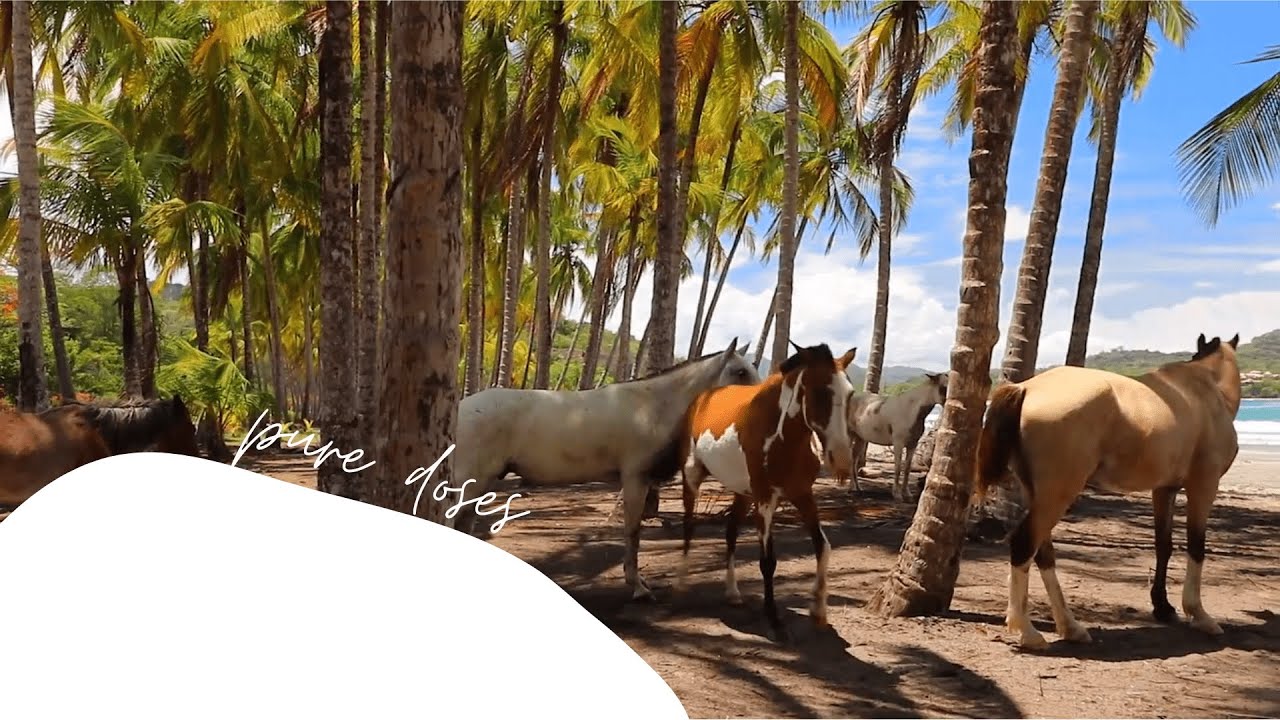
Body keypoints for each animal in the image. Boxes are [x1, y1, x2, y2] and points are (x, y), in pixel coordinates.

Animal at [451, 338, 761, 600]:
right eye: (740, 372)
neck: (655, 407)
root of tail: (462, 407)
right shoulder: (635, 479)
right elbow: (632, 531)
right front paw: (638, 588)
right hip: (470, 479)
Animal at [672, 342, 856, 641]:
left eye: (850, 393)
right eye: (819, 391)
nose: (841, 460)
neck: (781, 436)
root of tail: (704, 397)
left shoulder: (802, 494)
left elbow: (823, 547)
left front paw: (818, 610)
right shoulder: (765, 499)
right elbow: (768, 561)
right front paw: (773, 618)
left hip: (743, 492)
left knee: (730, 532)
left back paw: (733, 592)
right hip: (692, 477)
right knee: (689, 526)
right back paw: (680, 582)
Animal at [838, 372, 948, 503]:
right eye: (944, 387)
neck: (910, 409)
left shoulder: (913, 444)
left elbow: (907, 469)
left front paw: (907, 494)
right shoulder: (898, 443)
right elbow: (898, 468)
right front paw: (897, 494)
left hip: (860, 438)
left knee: (854, 460)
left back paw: (857, 488)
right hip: (850, 435)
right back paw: (851, 488)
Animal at [973, 333, 1241, 650]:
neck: (1206, 391)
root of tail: (1025, 387)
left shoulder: (1164, 489)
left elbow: (1163, 546)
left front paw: (1163, 607)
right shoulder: (1203, 485)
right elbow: (1196, 546)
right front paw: (1199, 615)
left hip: (1038, 493)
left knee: (1042, 553)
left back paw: (1071, 627)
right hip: (1058, 493)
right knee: (1024, 544)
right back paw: (1027, 630)